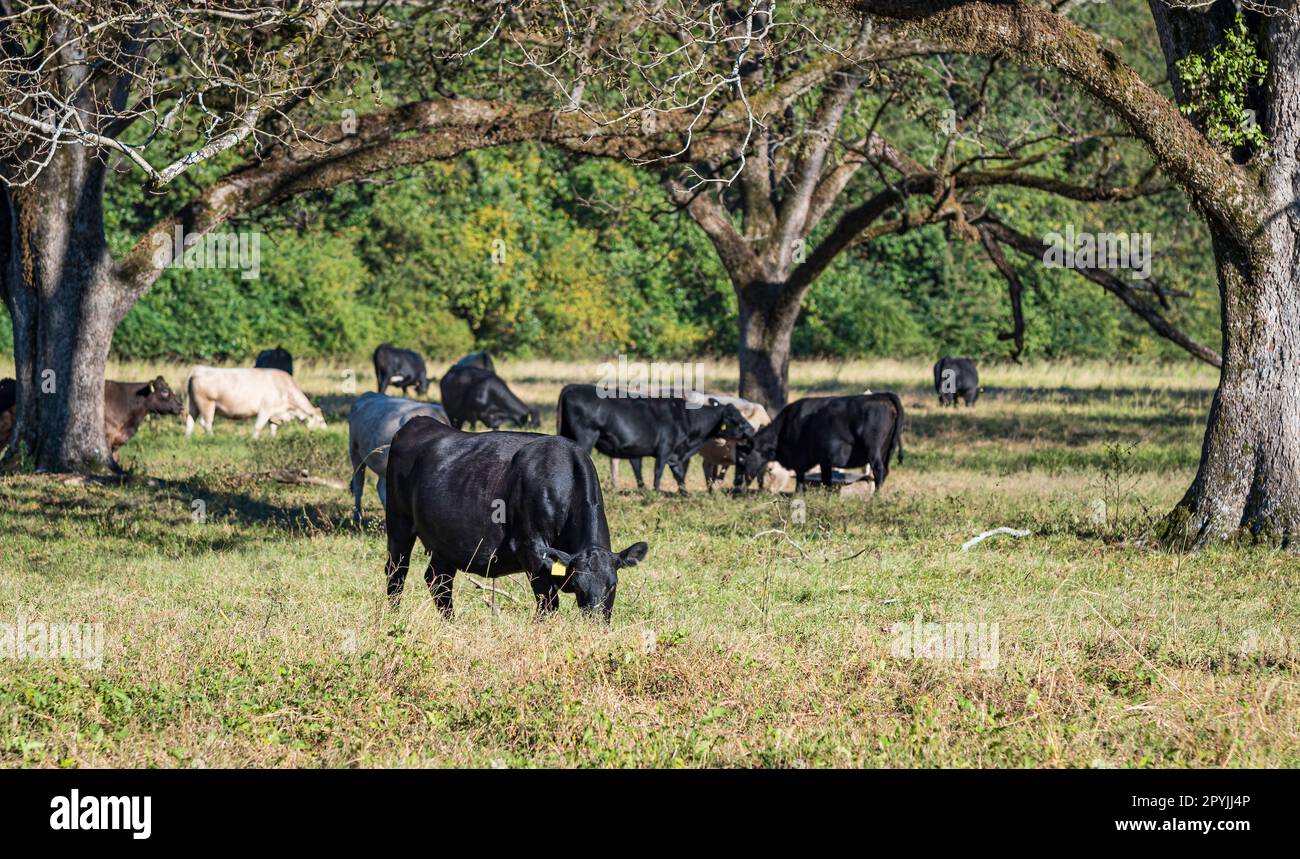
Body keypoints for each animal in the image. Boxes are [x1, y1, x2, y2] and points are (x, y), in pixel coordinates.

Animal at [185, 366, 325, 438]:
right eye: (321, 420)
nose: (327, 432)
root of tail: (198, 368)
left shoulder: (275, 414)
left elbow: (273, 428)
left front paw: (272, 440)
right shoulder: (265, 409)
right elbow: (258, 426)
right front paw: (254, 440)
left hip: (193, 405)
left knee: (190, 422)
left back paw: (187, 439)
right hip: (207, 404)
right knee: (206, 423)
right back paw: (212, 438)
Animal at [384, 417, 648, 620]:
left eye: (612, 585)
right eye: (578, 586)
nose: (595, 622)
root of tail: (419, 422)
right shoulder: (531, 550)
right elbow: (548, 605)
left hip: (445, 541)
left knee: (438, 580)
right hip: (399, 523)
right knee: (397, 573)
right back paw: (394, 618)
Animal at [556, 384, 755, 494]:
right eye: (736, 420)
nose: (752, 429)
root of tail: (572, 387)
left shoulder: (675, 454)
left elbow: (679, 474)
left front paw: (684, 494)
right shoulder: (665, 449)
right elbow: (658, 472)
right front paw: (656, 492)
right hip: (586, 437)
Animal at [736, 393, 905, 492]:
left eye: (743, 458)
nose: (738, 482)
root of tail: (882, 395)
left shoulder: (800, 460)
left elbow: (800, 481)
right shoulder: (825, 460)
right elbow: (826, 480)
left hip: (873, 449)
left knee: (879, 470)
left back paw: (876, 496)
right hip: (888, 449)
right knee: (885, 471)